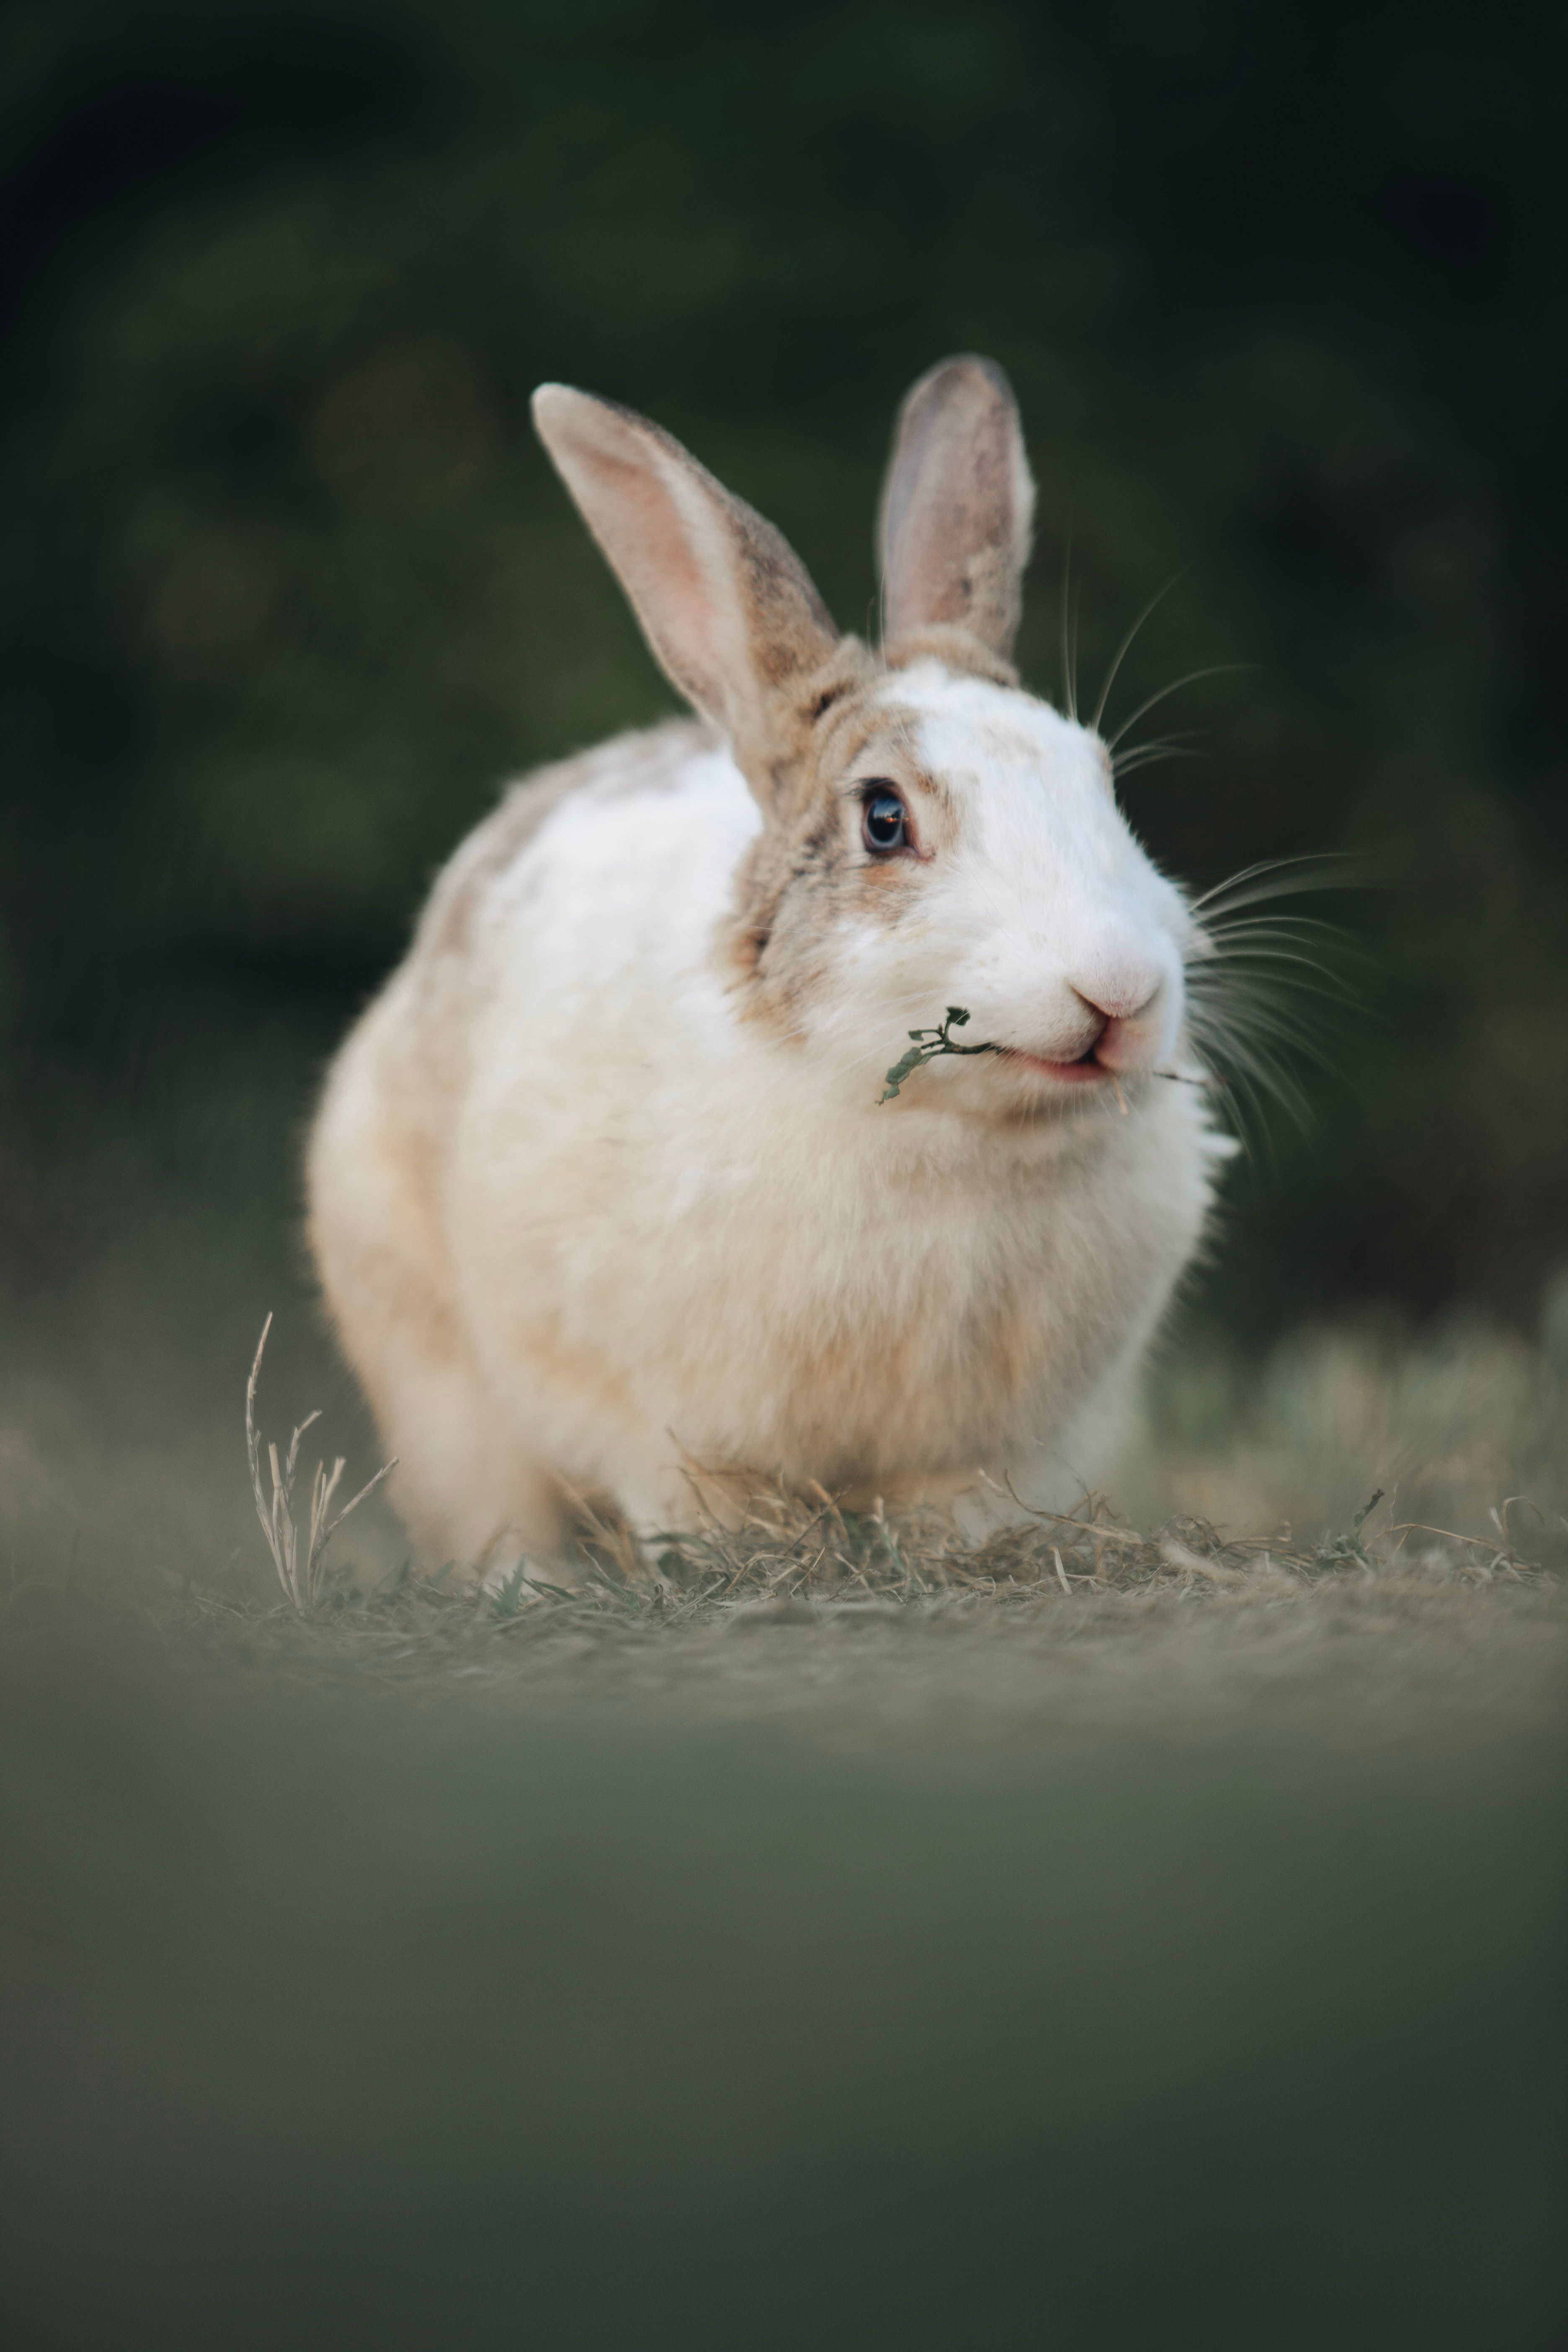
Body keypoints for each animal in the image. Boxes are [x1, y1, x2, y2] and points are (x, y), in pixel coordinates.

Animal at [306, 356, 1230, 1573]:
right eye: (883, 818)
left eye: (1102, 783)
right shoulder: (666, 1429)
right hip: (433, 1372)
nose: (1118, 989)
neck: (951, 1141)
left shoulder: (990, 1451)